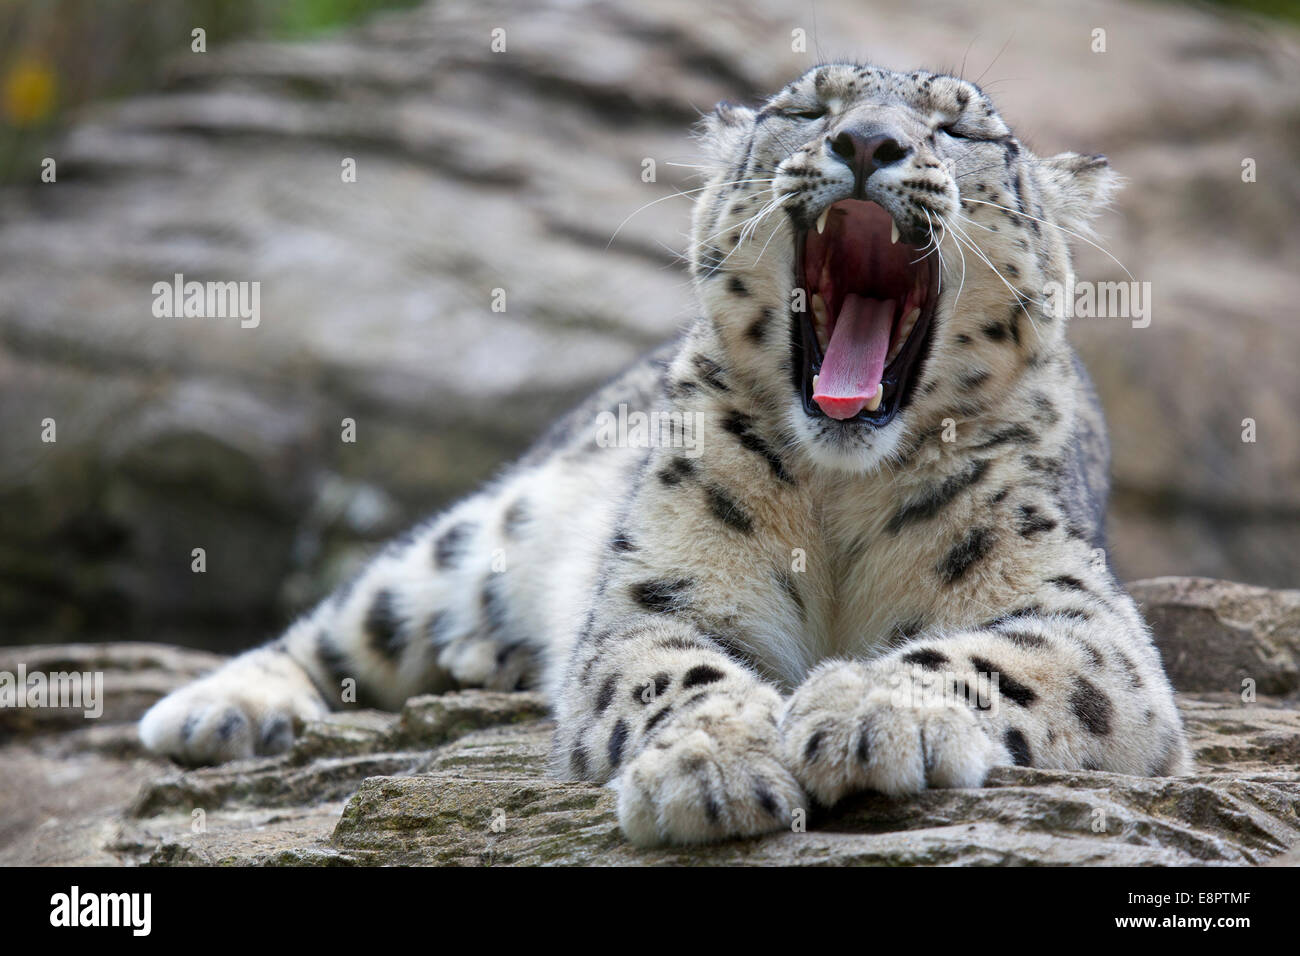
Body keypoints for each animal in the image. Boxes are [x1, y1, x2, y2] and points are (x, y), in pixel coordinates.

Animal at [139, 62, 1189, 846]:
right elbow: (669, 669)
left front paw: (869, 710)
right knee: (354, 617)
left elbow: (998, 654)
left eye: (961, 128)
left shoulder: (1075, 610)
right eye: (807, 109)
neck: (840, 495)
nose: (866, 143)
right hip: (485, 529)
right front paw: (711, 766)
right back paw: (217, 709)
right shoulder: (660, 585)